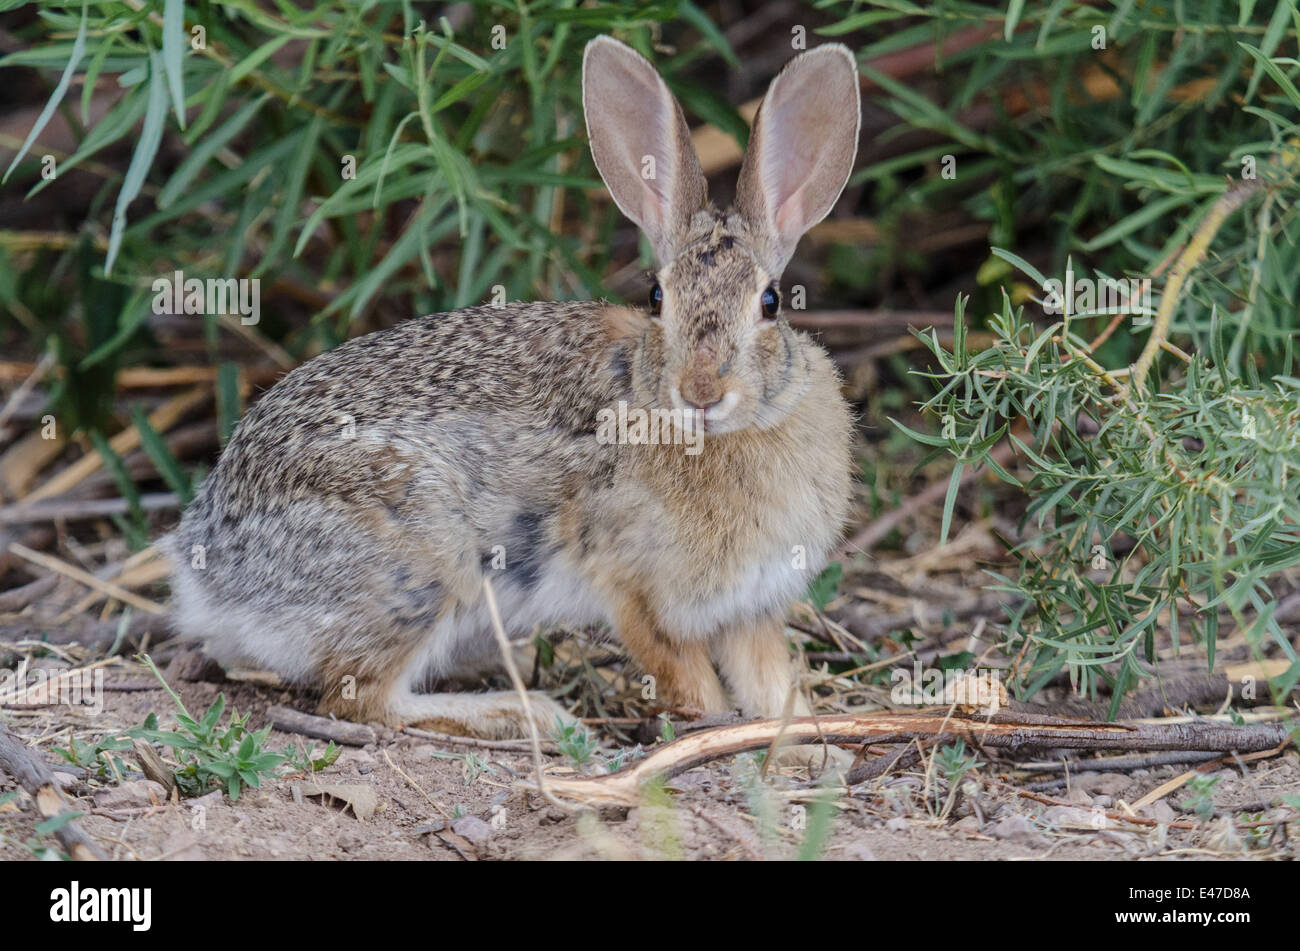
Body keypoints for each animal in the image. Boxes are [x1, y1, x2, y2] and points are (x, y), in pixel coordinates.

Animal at [164, 35, 860, 742]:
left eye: (771, 302)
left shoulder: (751, 606)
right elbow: (689, 683)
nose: (701, 392)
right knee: (359, 698)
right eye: (657, 299)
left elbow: (771, 683)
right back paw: (525, 712)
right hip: (420, 566)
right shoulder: (631, 589)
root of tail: (207, 567)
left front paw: (806, 745)